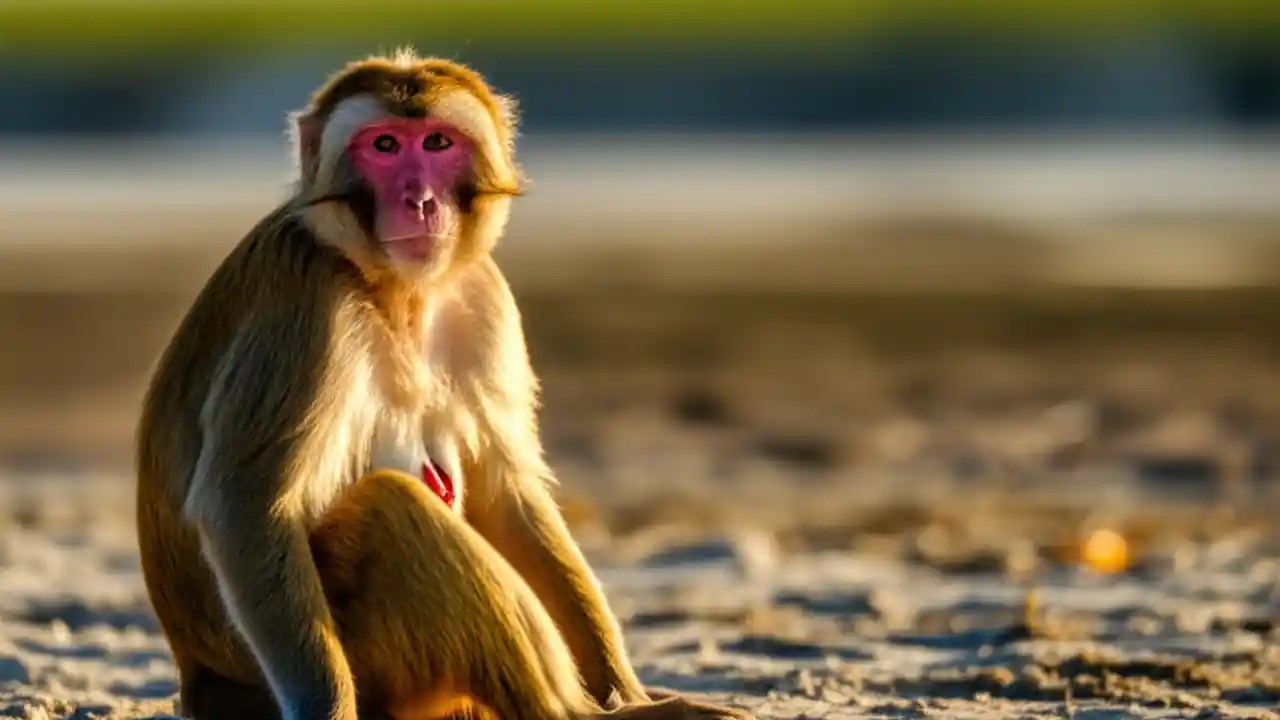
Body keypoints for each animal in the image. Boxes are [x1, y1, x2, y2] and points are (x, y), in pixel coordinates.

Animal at [135, 50, 752, 720]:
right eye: (384, 145)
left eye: (436, 143)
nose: (421, 200)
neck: (396, 291)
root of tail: (204, 683)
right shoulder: (308, 306)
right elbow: (246, 509)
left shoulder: (483, 295)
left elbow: (504, 493)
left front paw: (620, 682)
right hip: (365, 672)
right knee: (392, 509)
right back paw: (568, 712)